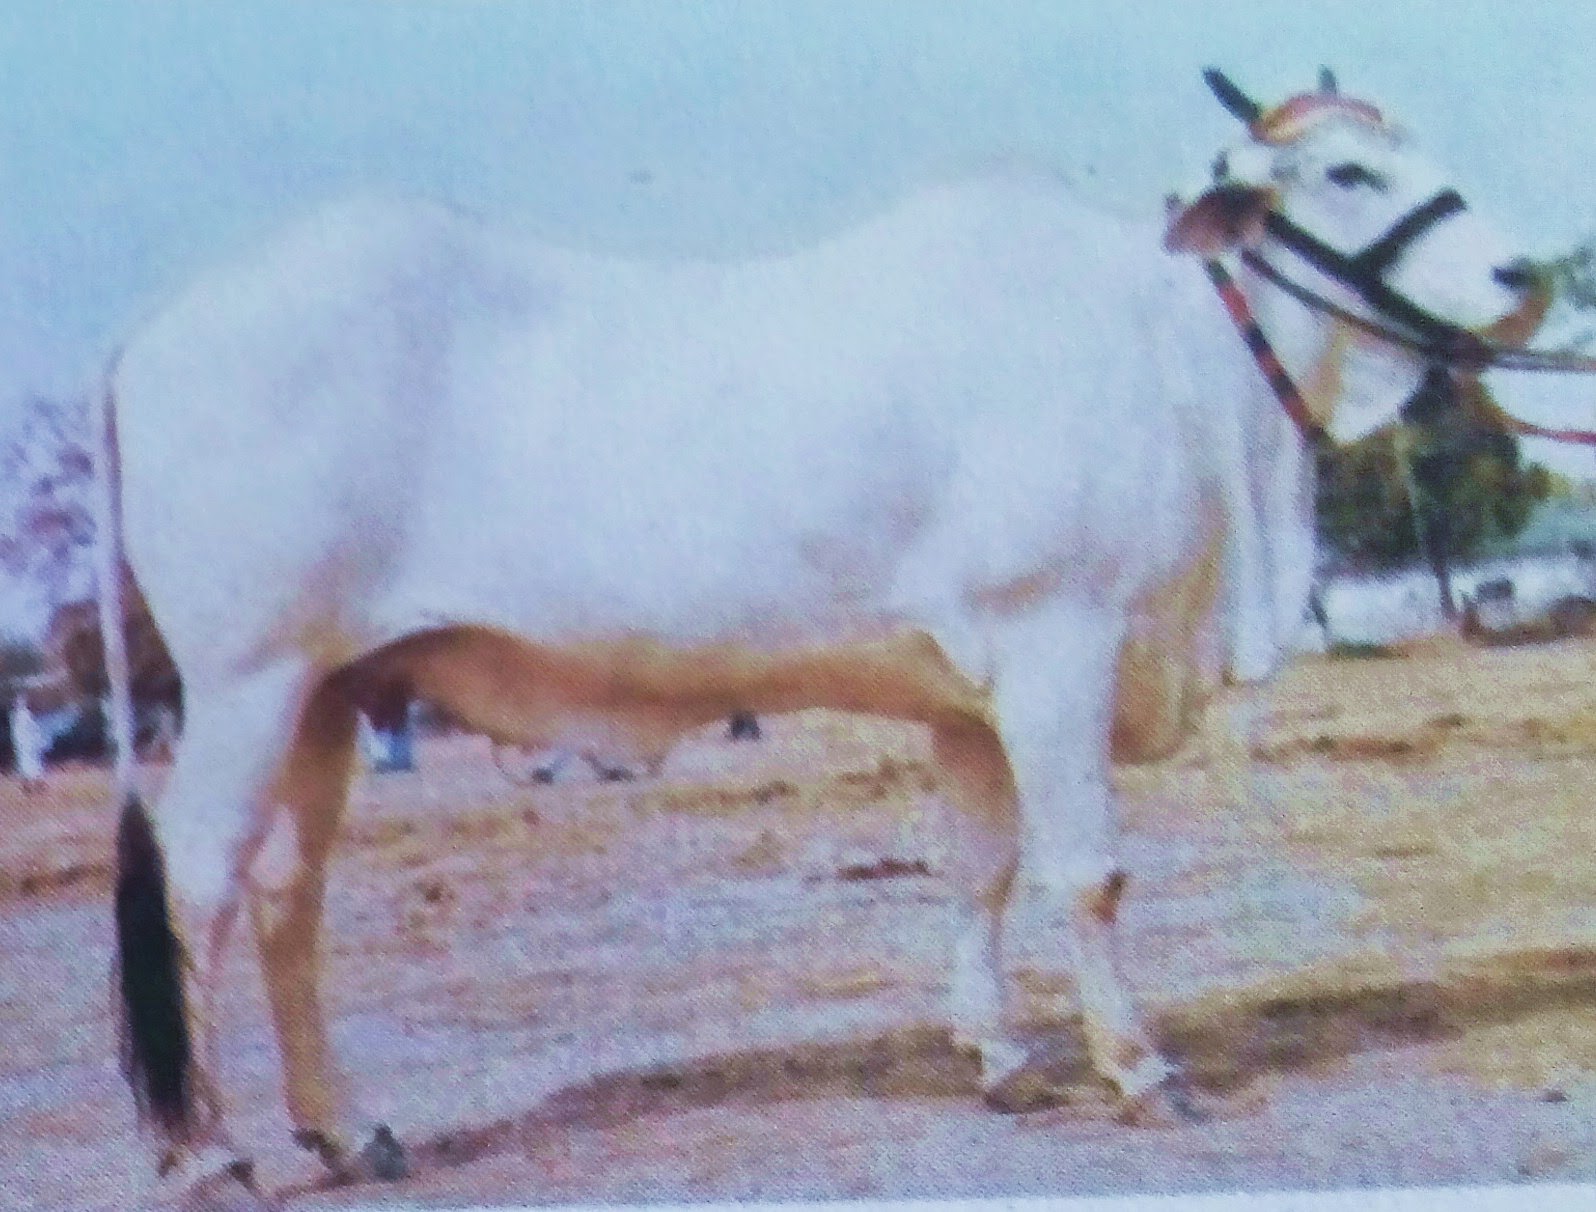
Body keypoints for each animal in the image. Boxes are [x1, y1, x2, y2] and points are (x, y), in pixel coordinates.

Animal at [102, 70, 1545, 1208]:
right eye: (1348, 170)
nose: (1523, 276)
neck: (1178, 352)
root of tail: (148, 335)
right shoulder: (1059, 648)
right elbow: (1087, 872)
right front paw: (1140, 1067)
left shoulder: (971, 698)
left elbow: (979, 872)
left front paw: (1002, 1058)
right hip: (246, 682)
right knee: (198, 886)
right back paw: (205, 1153)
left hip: (331, 692)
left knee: (289, 897)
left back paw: (344, 1131)